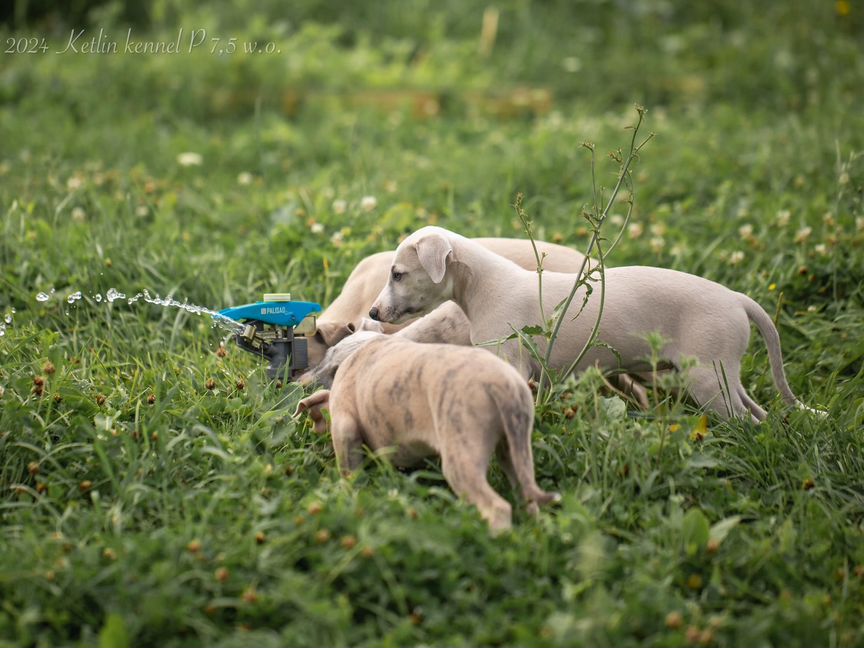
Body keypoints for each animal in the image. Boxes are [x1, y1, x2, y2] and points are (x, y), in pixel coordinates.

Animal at [294, 334, 556, 532]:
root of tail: (502, 386)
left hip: (461, 457)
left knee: (497, 508)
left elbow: (350, 472)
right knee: (527, 497)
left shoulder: (345, 426)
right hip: (515, 447)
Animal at [368, 227, 820, 420]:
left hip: (707, 378)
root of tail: (737, 299)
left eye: (398, 274)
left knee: (746, 421)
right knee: (759, 414)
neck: (486, 286)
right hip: (725, 373)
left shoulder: (510, 362)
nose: (372, 314)